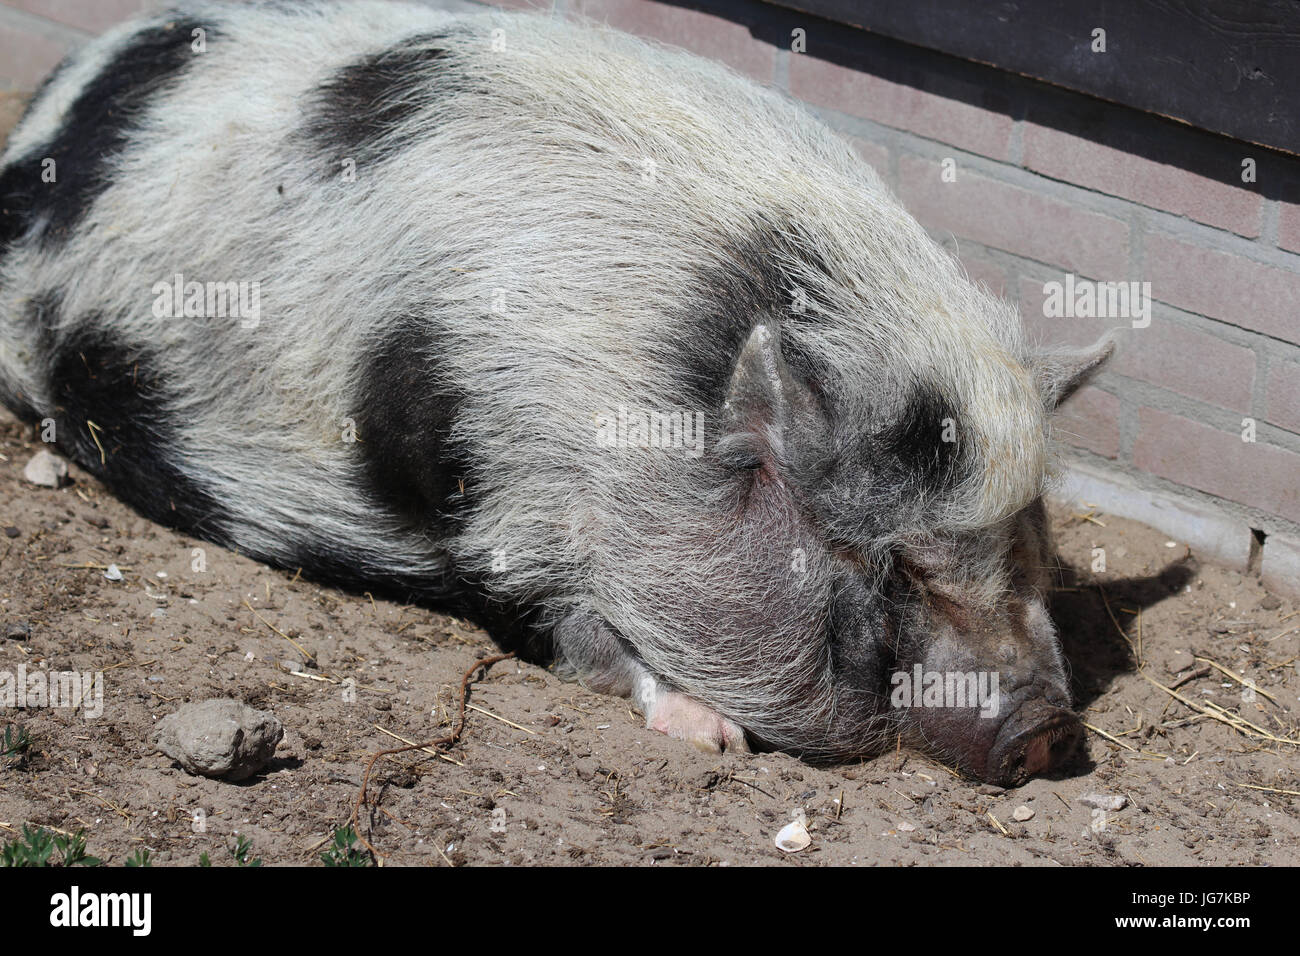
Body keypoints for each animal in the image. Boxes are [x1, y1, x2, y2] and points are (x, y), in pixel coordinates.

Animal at [0, 0, 1113, 785]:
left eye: (1028, 541)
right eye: (894, 569)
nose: (1046, 731)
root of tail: (47, 109)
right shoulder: (495, 489)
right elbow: (564, 623)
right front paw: (714, 737)